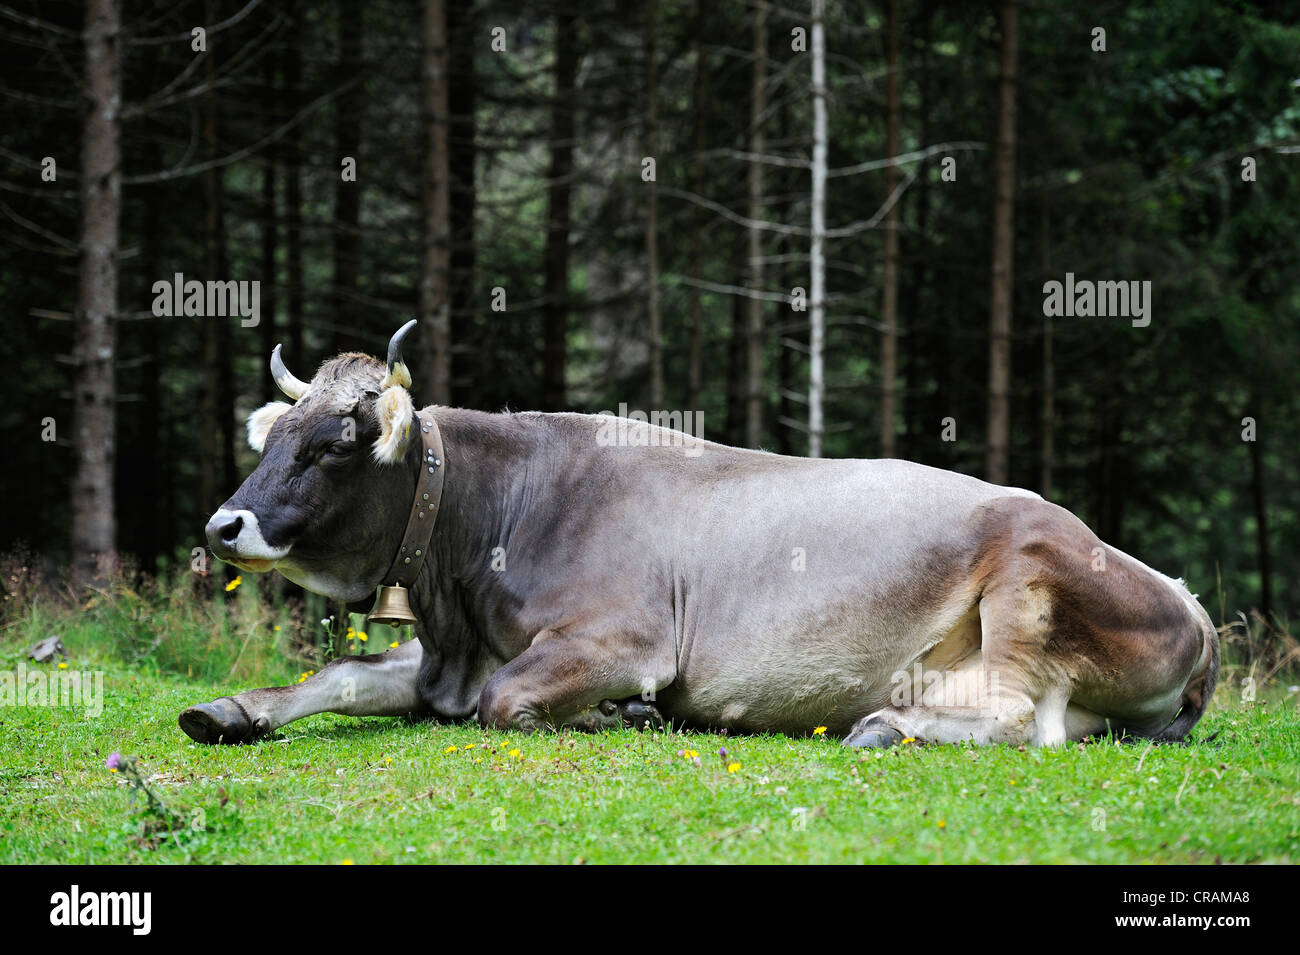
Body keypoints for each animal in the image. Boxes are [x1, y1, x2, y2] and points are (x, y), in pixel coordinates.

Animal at [181, 322, 1219, 749]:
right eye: (274, 436)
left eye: (333, 443)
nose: (222, 523)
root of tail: (1194, 606)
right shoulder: (448, 656)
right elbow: (340, 673)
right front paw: (231, 709)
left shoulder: (621, 638)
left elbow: (507, 702)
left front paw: (620, 714)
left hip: (1030, 578)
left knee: (1013, 716)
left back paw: (886, 724)